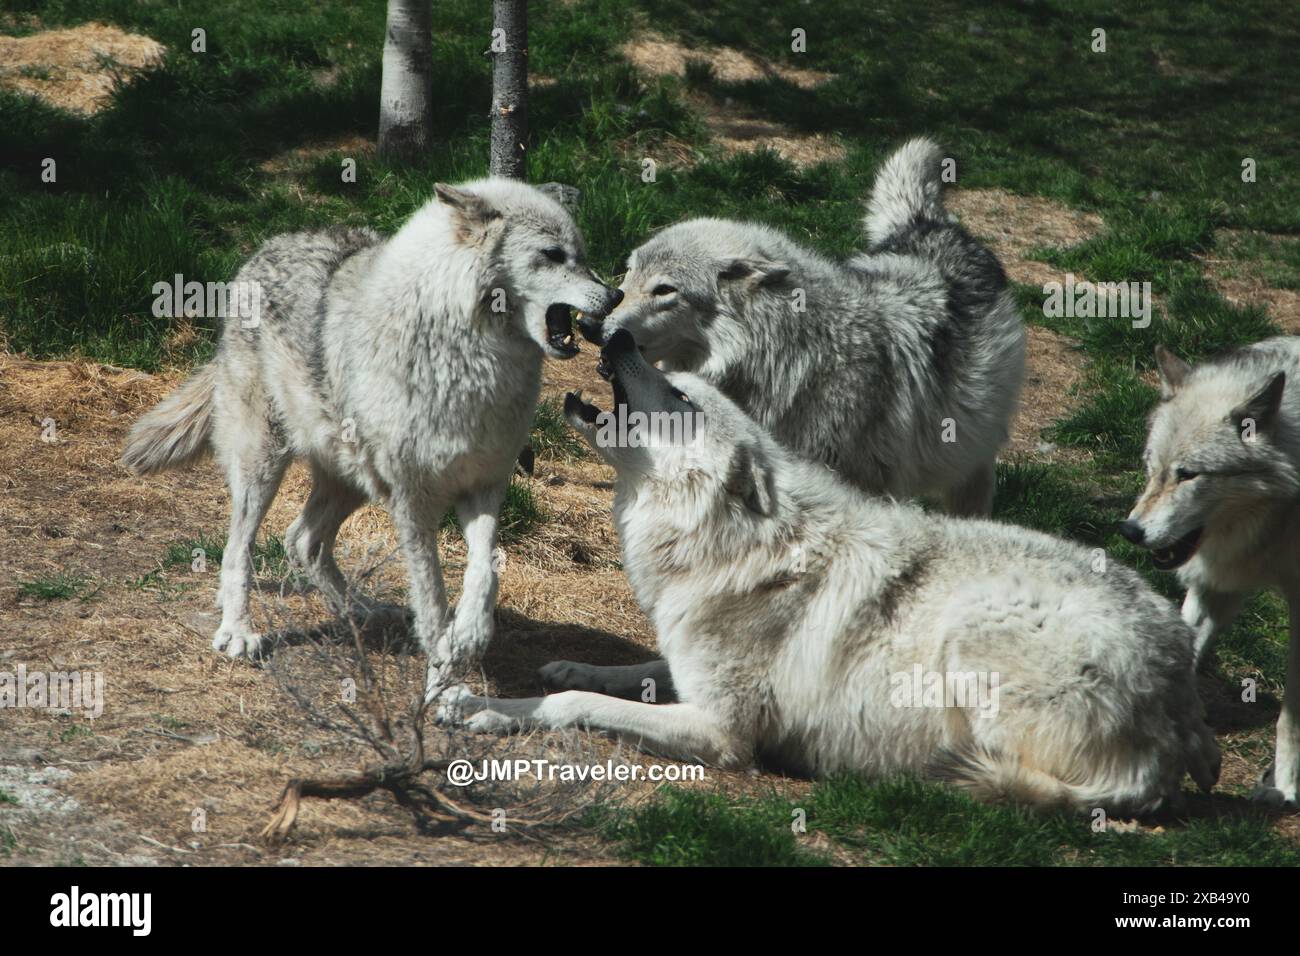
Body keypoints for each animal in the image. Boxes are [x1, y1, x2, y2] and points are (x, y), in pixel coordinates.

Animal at [122, 179, 621, 693]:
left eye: (582, 253)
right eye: (553, 254)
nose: (615, 295)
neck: (470, 355)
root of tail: (265, 247)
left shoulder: (484, 486)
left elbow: (486, 570)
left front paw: (467, 638)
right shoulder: (413, 502)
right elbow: (432, 593)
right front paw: (443, 674)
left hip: (351, 478)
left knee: (301, 539)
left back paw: (364, 610)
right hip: (264, 467)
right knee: (238, 549)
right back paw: (238, 631)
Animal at [453, 329, 1219, 814]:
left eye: (682, 396)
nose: (616, 336)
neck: (733, 546)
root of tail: (1180, 700)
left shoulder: (722, 730)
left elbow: (578, 705)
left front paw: (487, 710)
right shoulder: (692, 665)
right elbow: (633, 668)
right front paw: (563, 667)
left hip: (974, 631)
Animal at [578, 137, 1025, 517]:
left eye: (665, 290)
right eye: (627, 274)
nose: (587, 324)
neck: (793, 356)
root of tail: (931, 226)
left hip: (972, 466)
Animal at [1121, 339, 1300, 808]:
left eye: (1188, 475)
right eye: (1152, 468)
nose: (1130, 530)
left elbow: (1289, 715)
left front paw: (1286, 785)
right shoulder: (1215, 583)